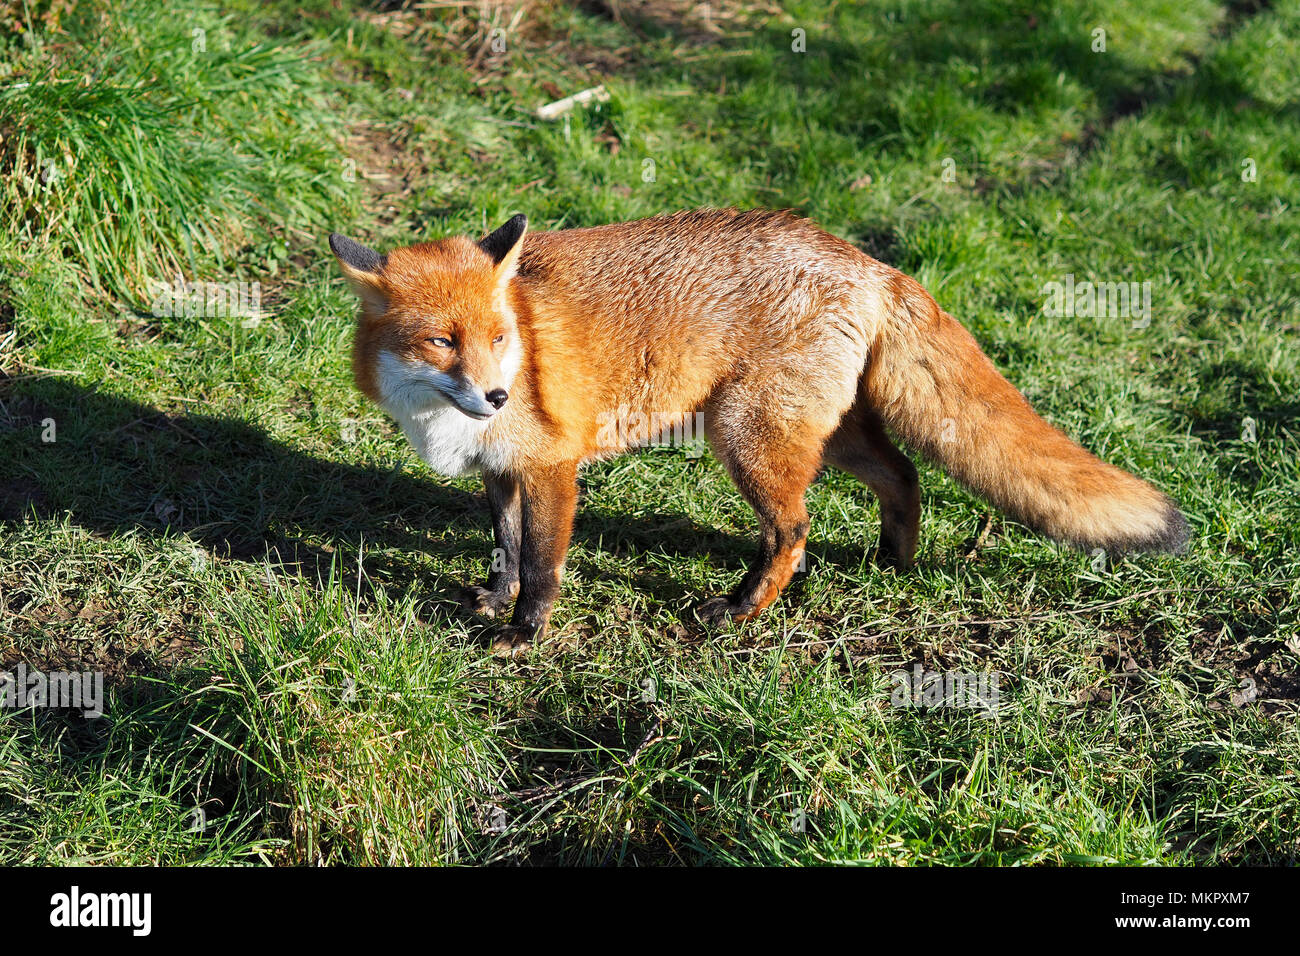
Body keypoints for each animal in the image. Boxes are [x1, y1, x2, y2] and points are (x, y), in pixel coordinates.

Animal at [330, 209, 1188, 656]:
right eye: (443, 341)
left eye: (501, 337)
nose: (501, 394)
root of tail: (870, 263)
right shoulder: (499, 471)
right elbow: (505, 549)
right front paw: (493, 601)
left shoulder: (551, 467)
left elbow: (543, 564)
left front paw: (525, 634)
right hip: (828, 434)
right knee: (904, 476)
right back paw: (893, 563)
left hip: (746, 439)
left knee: (794, 532)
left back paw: (740, 612)